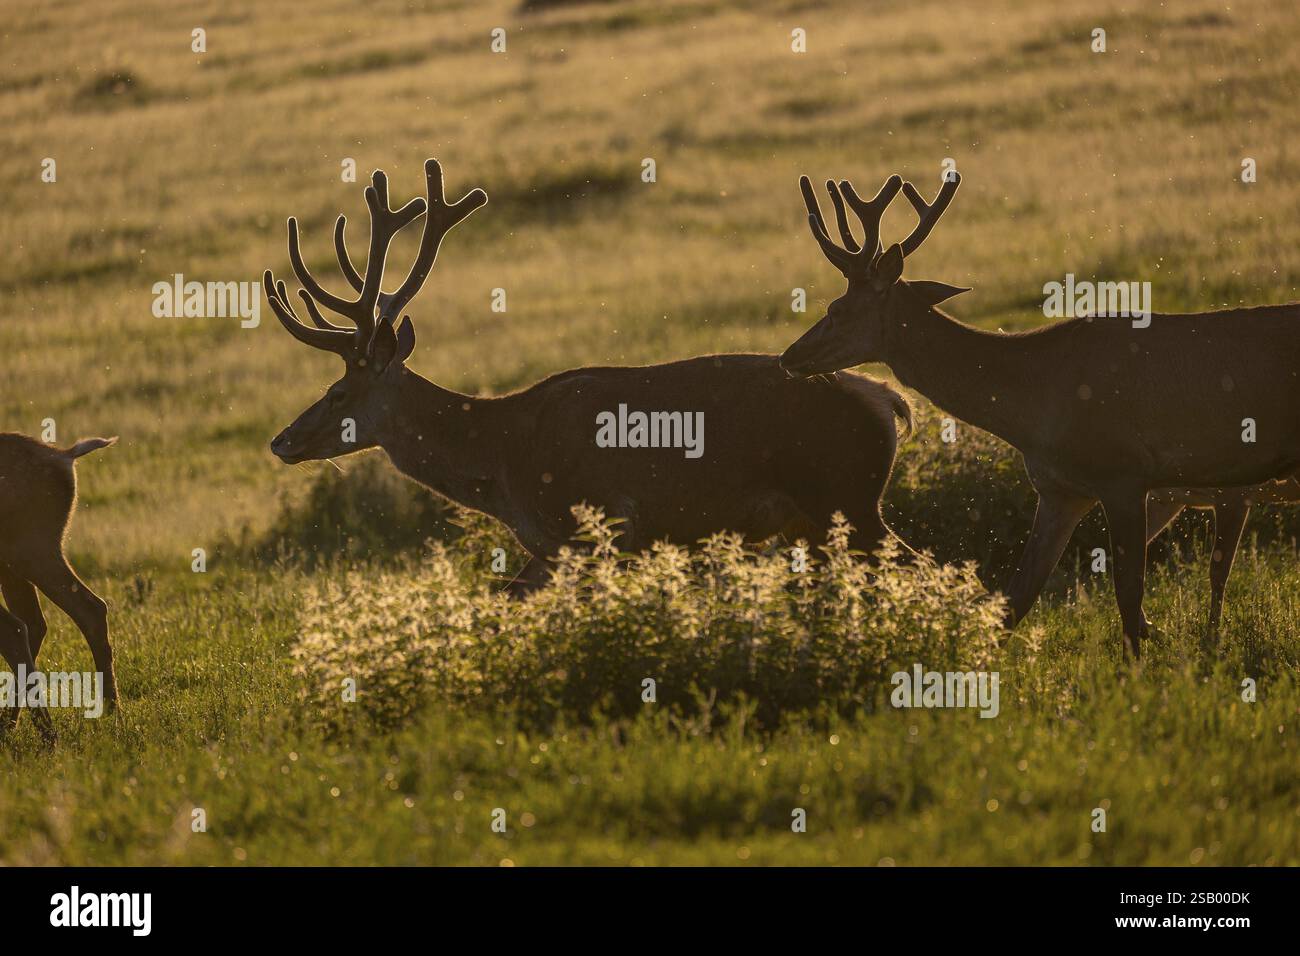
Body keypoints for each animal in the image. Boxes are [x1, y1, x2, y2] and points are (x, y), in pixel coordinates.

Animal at [264, 159, 914, 592]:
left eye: (338, 391)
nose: (282, 441)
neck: (501, 461)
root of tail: (889, 401)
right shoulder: (552, 549)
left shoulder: (595, 522)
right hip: (813, 520)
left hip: (846, 494)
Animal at [778, 169, 1300, 658]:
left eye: (837, 307)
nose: (789, 356)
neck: (1035, 406)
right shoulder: (1058, 491)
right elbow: (1016, 600)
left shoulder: (1125, 474)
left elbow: (1128, 600)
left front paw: (1135, 676)